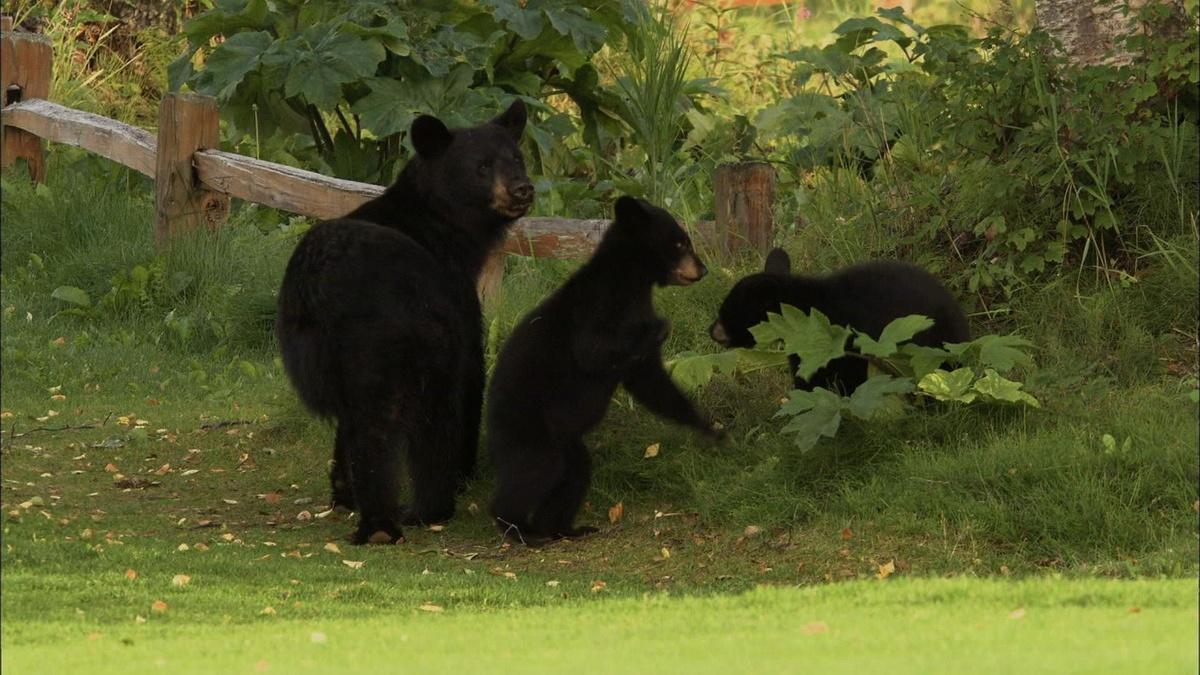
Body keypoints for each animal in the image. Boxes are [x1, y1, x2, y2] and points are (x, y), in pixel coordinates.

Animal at [276, 101, 532, 545]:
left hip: (325, 351)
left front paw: (342, 491)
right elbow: (471, 372)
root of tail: (325, 285)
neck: (444, 227)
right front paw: (463, 473)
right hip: (402, 336)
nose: (522, 189)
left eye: (516, 157)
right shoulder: (453, 294)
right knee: (411, 419)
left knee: (357, 416)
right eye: (482, 166)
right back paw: (409, 514)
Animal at [487, 196, 720, 545]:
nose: (702, 269)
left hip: (566, 439)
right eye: (680, 242)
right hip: (527, 425)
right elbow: (591, 350)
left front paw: (708, 427)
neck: (631, 281)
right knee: (536, 470)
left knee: (573, 474)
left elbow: (650, 382)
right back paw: (518, 527)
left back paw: (562, 528)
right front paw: (659, 327)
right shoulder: (597, 307)